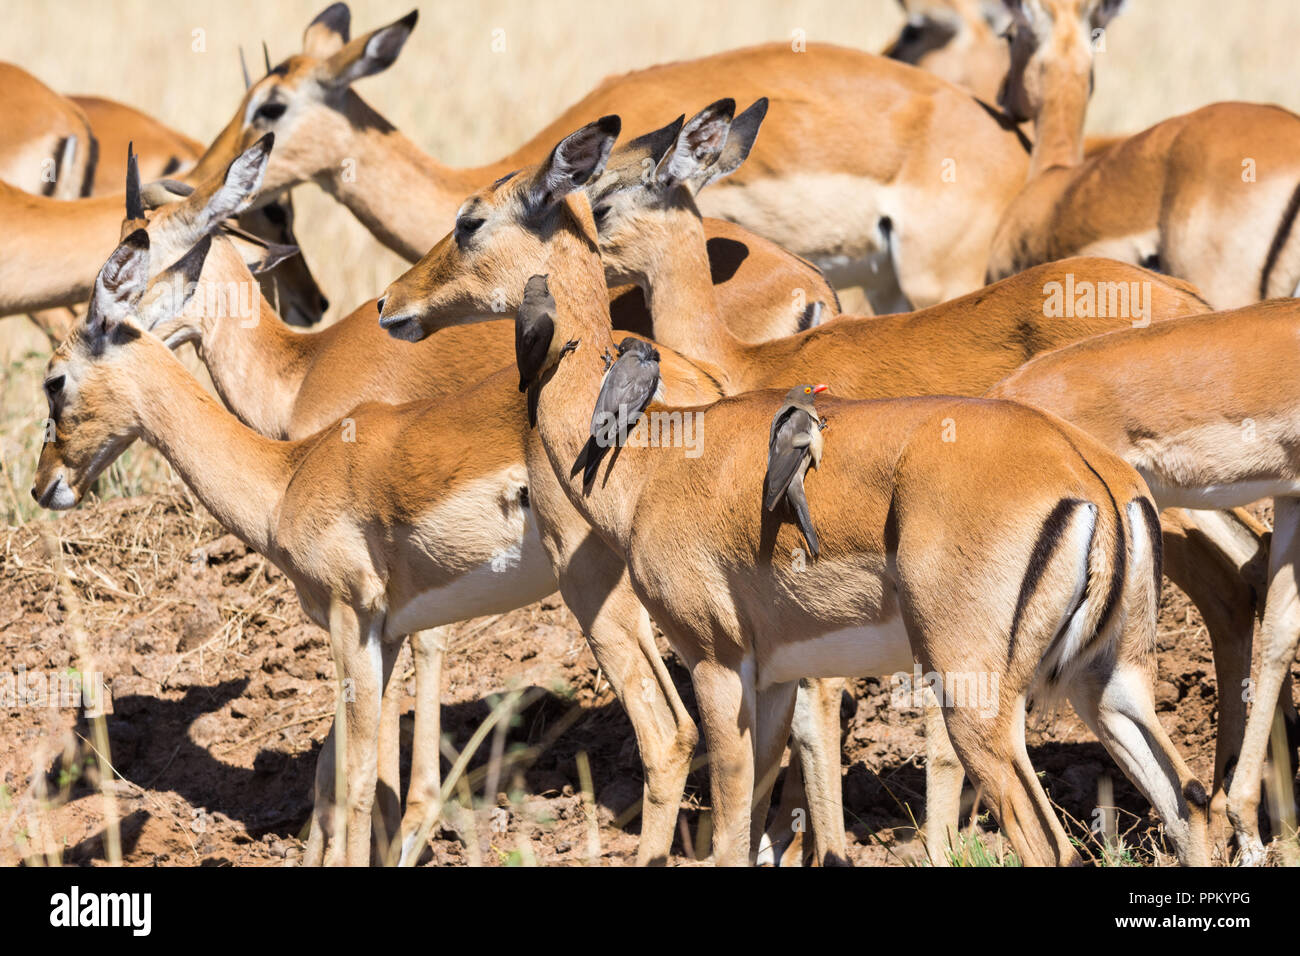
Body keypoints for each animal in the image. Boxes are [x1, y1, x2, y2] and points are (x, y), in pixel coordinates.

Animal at [374, 119, 1211, 865]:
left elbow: (733, 826)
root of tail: (1090, 476)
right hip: (1109, 683)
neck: (652, 453)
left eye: (470, 221)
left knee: (1051, 842)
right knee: (1191, 800)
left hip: (978, 700)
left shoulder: (716, 663)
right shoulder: (775, 677)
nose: (391, 304)